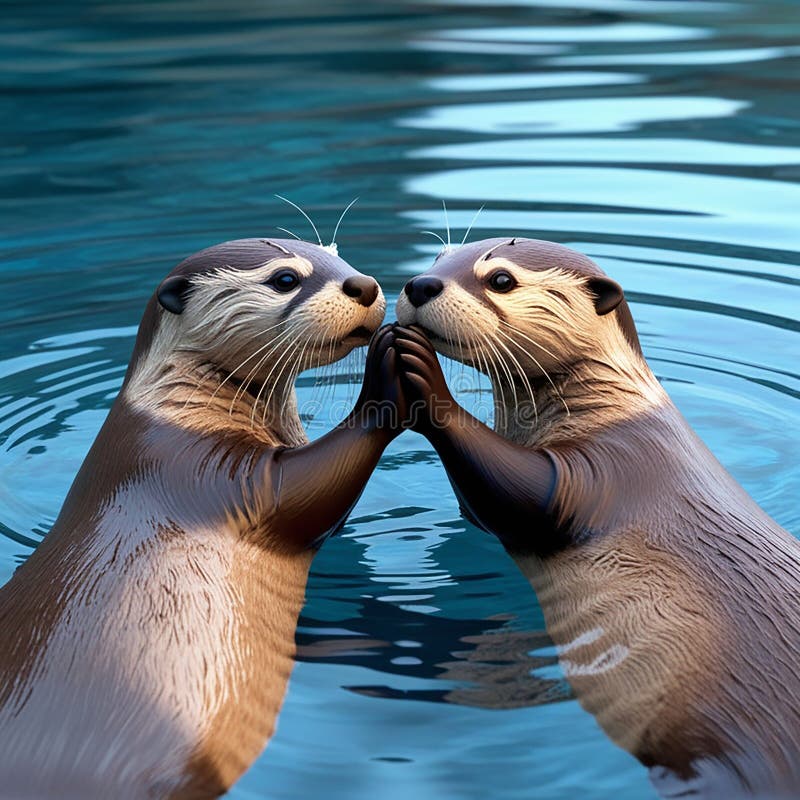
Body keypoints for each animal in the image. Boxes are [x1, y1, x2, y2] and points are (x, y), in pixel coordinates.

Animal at [0, 238, 404, 799]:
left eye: (337, 254)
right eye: (285, 279)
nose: (363, 284)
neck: (179, 407)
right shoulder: (192, 468)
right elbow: (301, 497)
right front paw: (389, 374)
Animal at [393, 237, 800, 799]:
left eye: (500, 279)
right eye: (440, 258)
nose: (420, 284)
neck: (611, 407)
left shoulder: (609, 470)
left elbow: (521, 496)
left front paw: (425, 381)